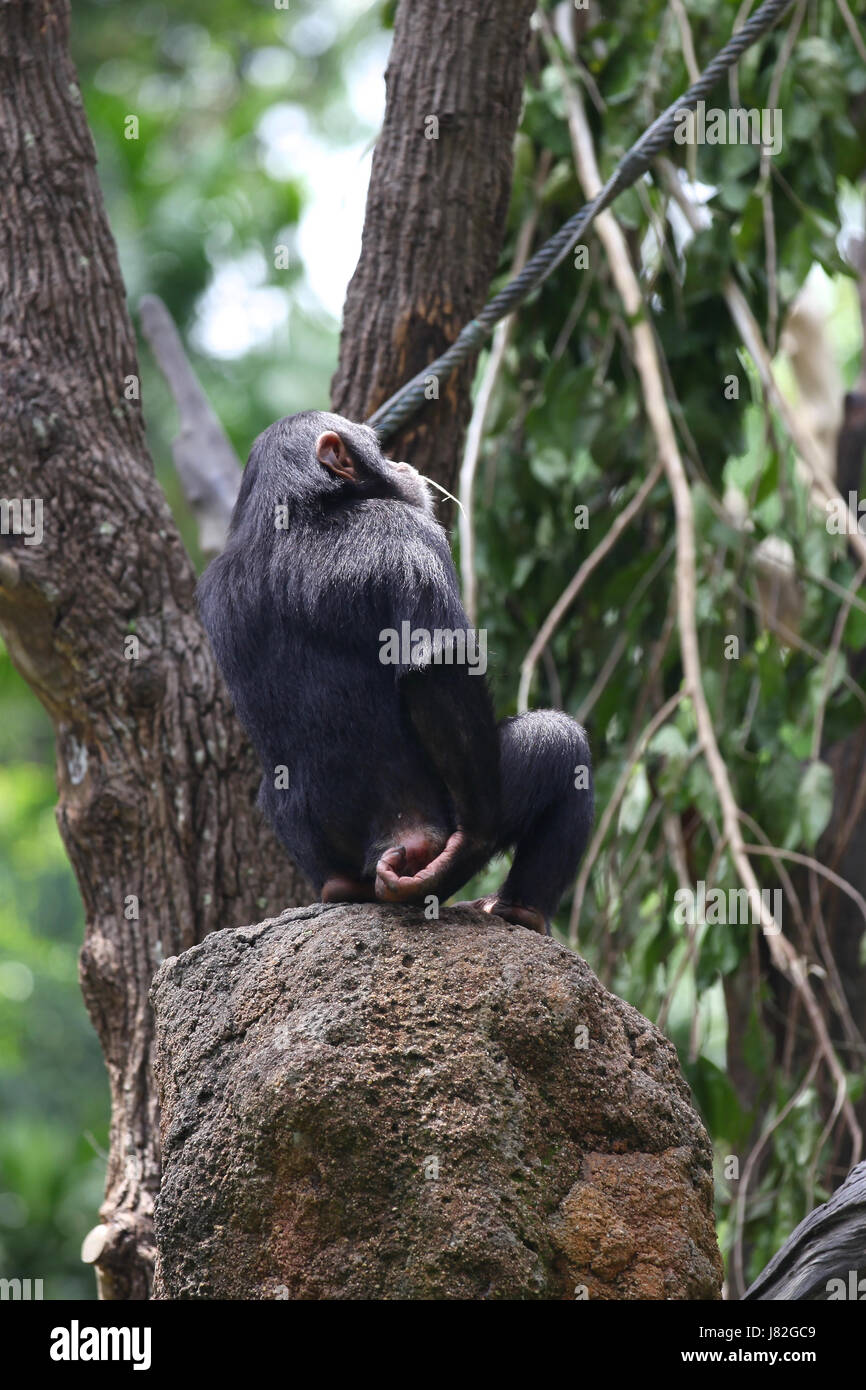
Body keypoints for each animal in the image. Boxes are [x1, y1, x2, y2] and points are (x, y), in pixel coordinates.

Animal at [197, 411, 593, 934]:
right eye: (379, 447)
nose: (401, 462)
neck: (296, 509)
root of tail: (389, 843)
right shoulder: (407, 532)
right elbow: (439, 667)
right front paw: (473, 840)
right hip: (428, 835)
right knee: (559, 744)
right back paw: (519, 911)